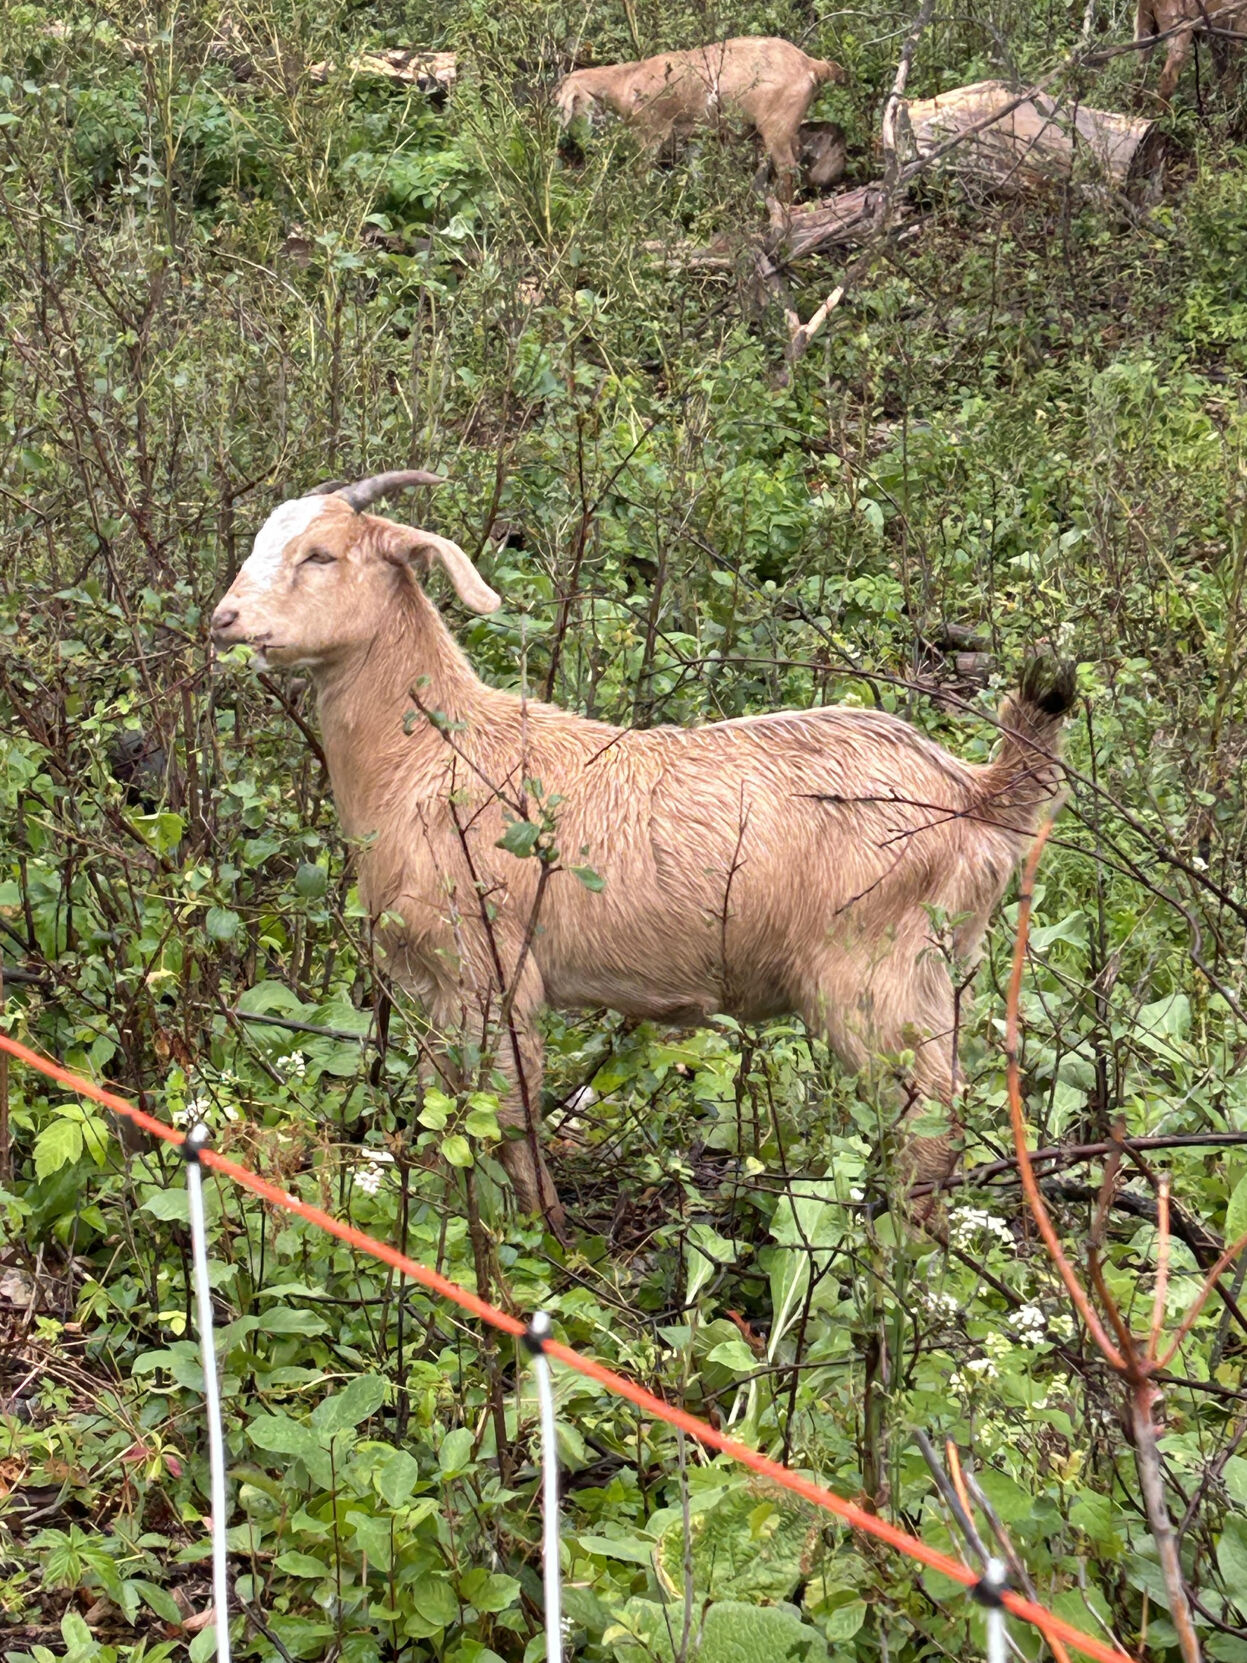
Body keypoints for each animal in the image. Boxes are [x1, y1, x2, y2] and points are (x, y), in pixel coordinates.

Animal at [212, 475, 1074, 1236]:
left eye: (321, 554)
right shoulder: (433, 986)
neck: (435, 752)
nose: (224, 618)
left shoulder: (490, 973)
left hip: (874, 974)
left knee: (931, 1117)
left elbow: (507, 1111)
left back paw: (899, 1266)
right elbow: (445, 1110)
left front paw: (544, 1236)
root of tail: (973, 791)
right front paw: (449, 1220)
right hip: (933, 977)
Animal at [555, 37, 847, 200]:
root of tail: (812, 65)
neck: (627, 82)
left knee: (787, 168)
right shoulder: (693, 135)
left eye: (568, 103)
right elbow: (695, 170)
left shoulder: (653, 131)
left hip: (776, 124)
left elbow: (641, 172)